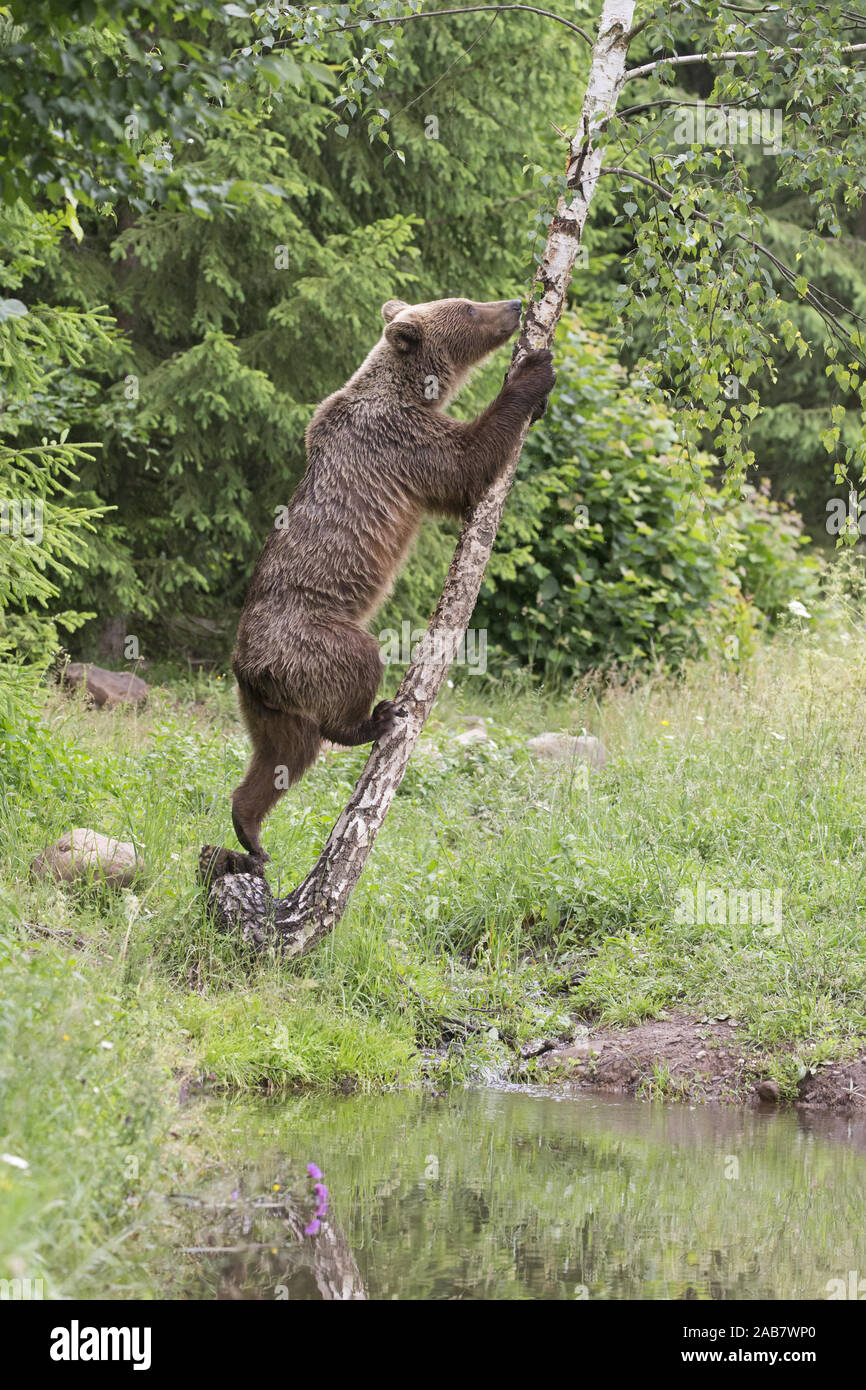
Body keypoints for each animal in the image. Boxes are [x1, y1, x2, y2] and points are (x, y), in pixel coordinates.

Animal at [228, 295, 555, 863]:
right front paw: (533, 373)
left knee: (282, 754)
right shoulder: (400, 438)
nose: (514, 304)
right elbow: (466, 464)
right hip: (312, 640)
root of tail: (250, 665)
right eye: (468, 307)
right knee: (354, 671)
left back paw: (249, 828)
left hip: (268, 703)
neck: (407, 388)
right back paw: (373, 720)